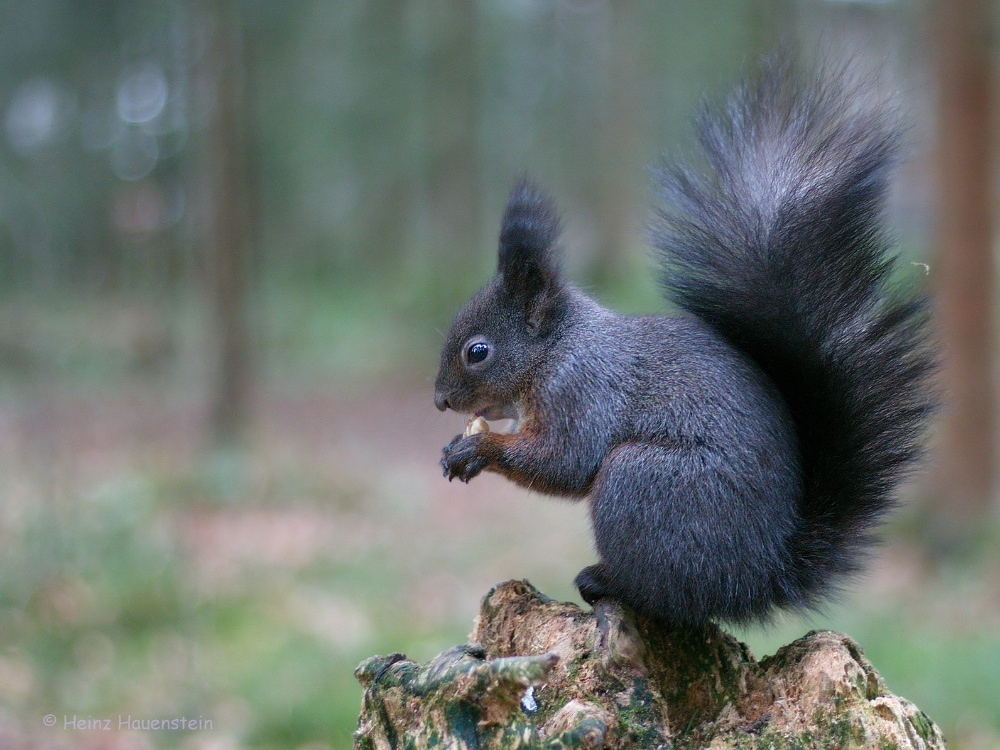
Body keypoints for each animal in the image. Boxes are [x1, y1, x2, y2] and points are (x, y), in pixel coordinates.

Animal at [432, 58, 937, 626]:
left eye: (478, 352)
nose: (440, 400)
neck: (558, 347)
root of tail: (758, 578)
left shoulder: (582, 389)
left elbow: (565, 459)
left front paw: (477, 448)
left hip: (643, 483)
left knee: (667, 591)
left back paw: (607, 580)